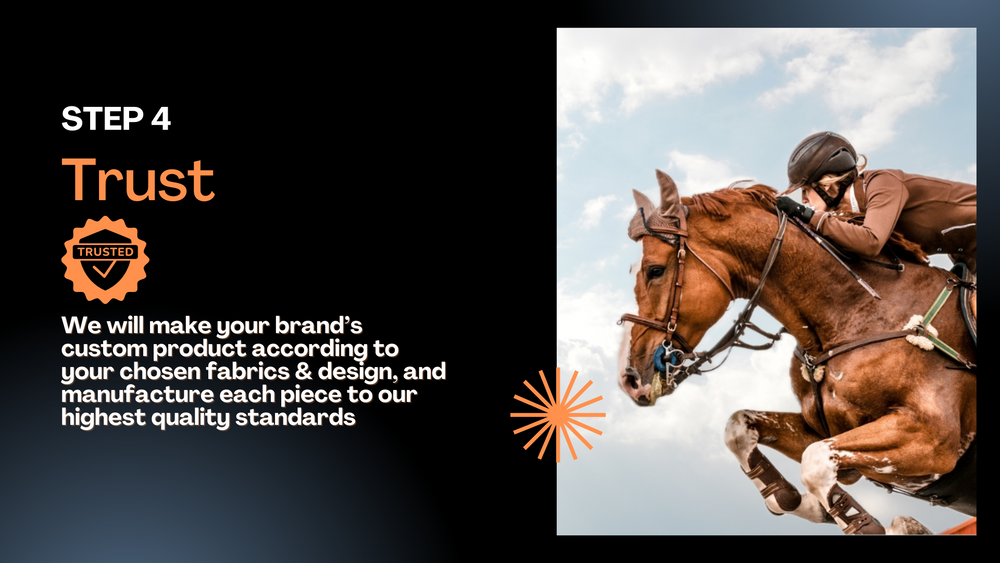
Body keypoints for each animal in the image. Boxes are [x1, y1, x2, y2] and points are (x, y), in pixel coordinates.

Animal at [619, 170, 976, 535]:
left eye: (655, 271)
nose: (628, 378)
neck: (861, 311)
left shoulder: (930, 437)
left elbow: (814, 462)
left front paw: (866, 524)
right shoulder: (825, 433)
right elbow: (739, 429)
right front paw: (793, 499)